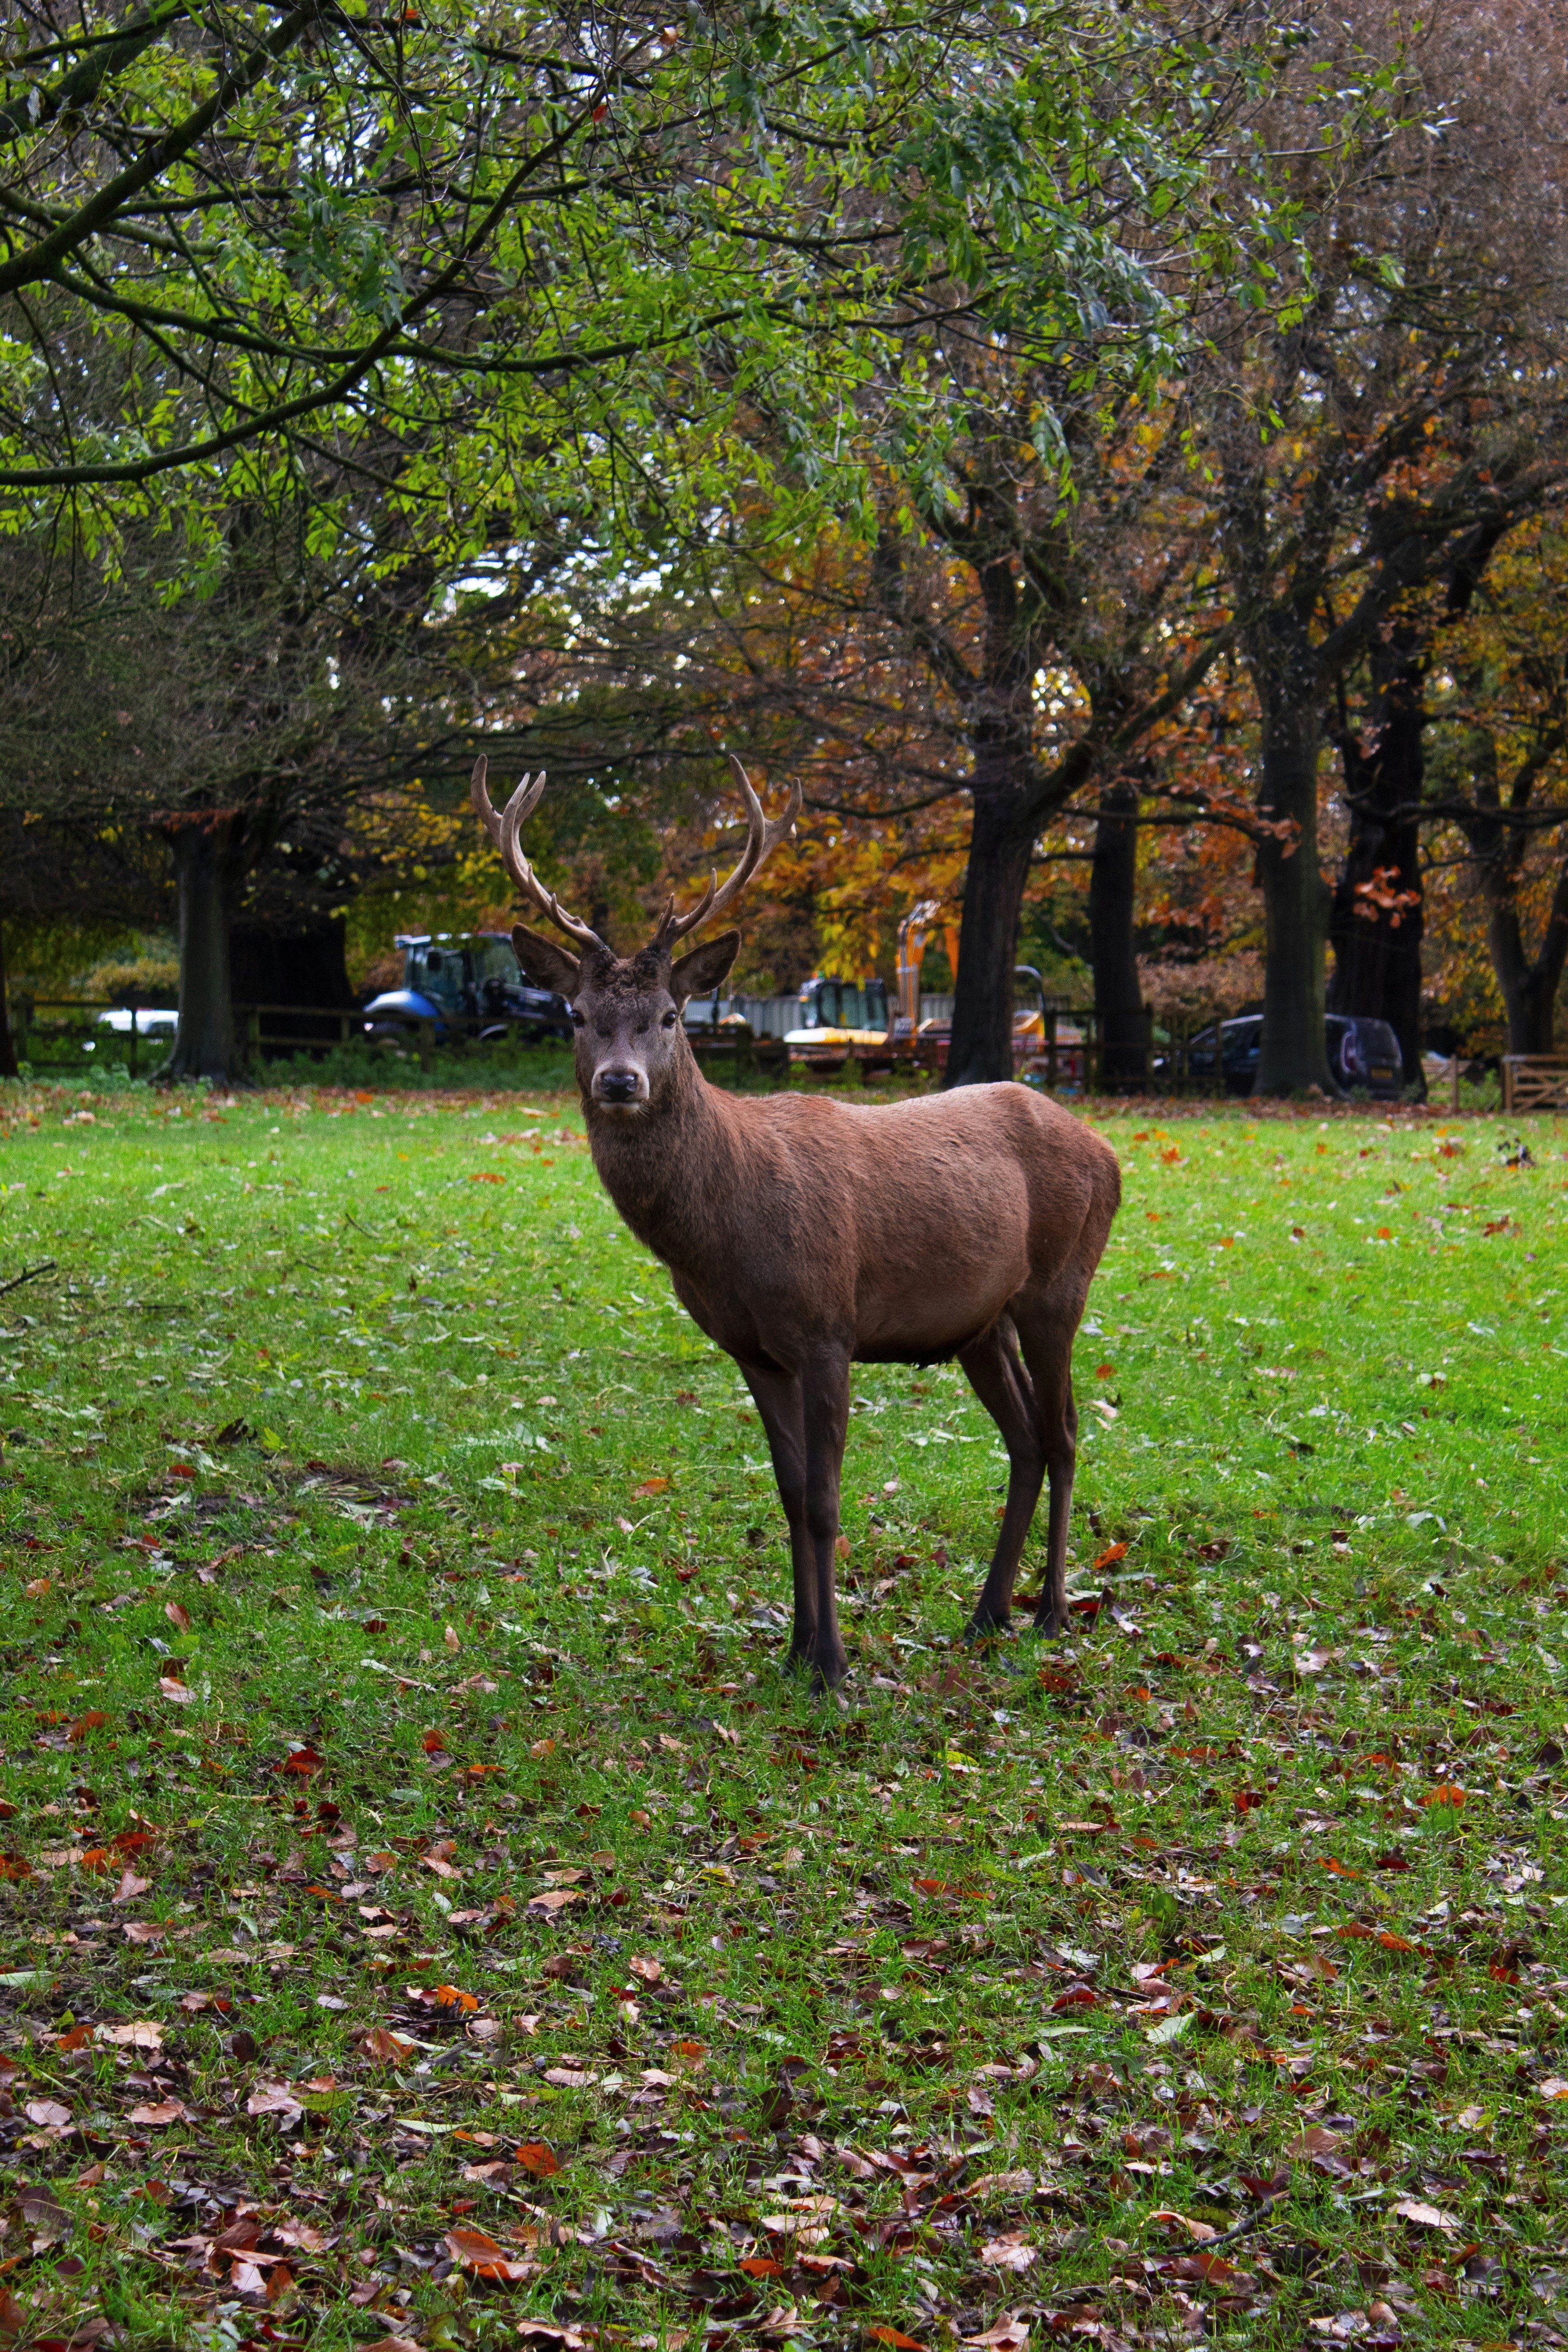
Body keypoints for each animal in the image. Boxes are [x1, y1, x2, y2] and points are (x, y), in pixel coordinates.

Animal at [471, 753, 1121, 1690]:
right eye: (577, 1015)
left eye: (668, 1015)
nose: (620, 1081)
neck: (726, 1237)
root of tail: (1110, 1153)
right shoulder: (751, 1346)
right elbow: (785, 1492)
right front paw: (793, 1647)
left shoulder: (826, 1323)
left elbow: (822, 1497)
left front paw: (833, 1664)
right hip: (979, 1321)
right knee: (1027, 1440)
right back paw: (987, 1611)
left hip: (1059, 1283)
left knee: (1065, 1432)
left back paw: (1051, 1610)